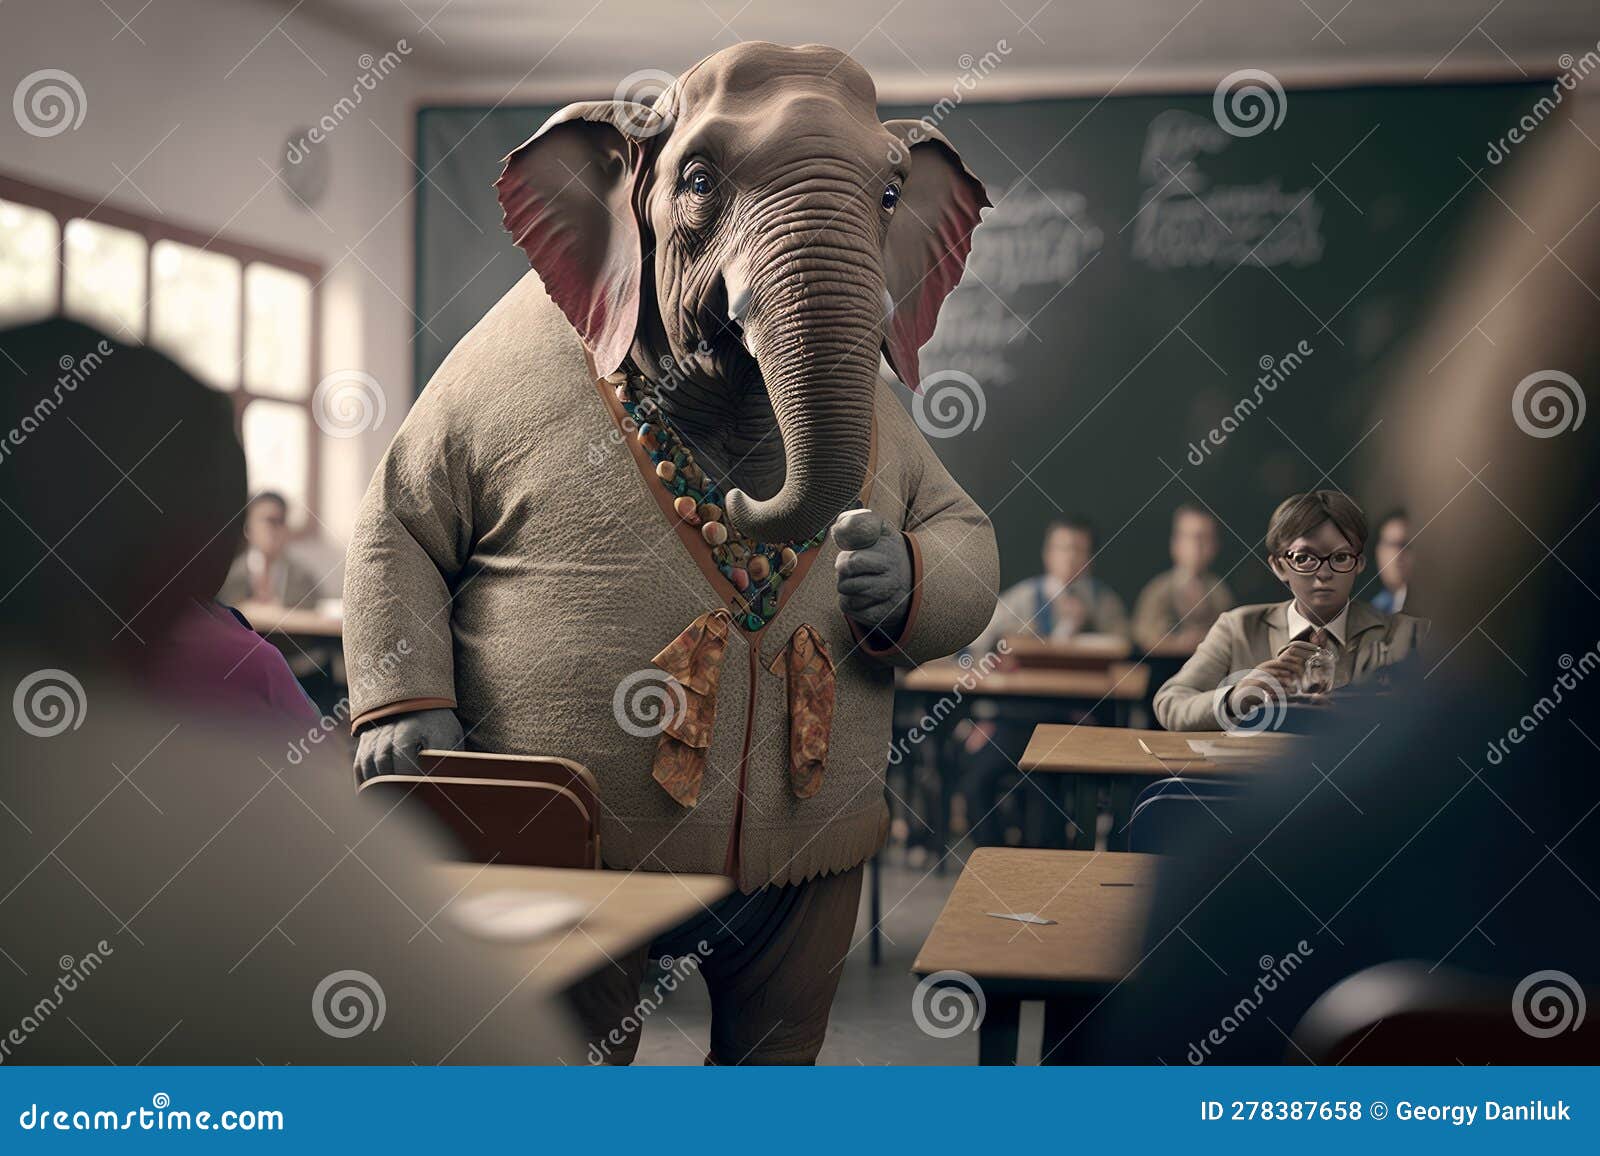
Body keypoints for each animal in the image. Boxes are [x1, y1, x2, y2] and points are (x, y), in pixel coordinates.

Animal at [343, 41, 999, 1063]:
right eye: (697, 180)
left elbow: (970, 536)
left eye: (892, 194)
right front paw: (413, 751)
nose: (736, 495)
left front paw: (875, 564)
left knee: (789, 995)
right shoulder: (489, 369)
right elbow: (400, 520)